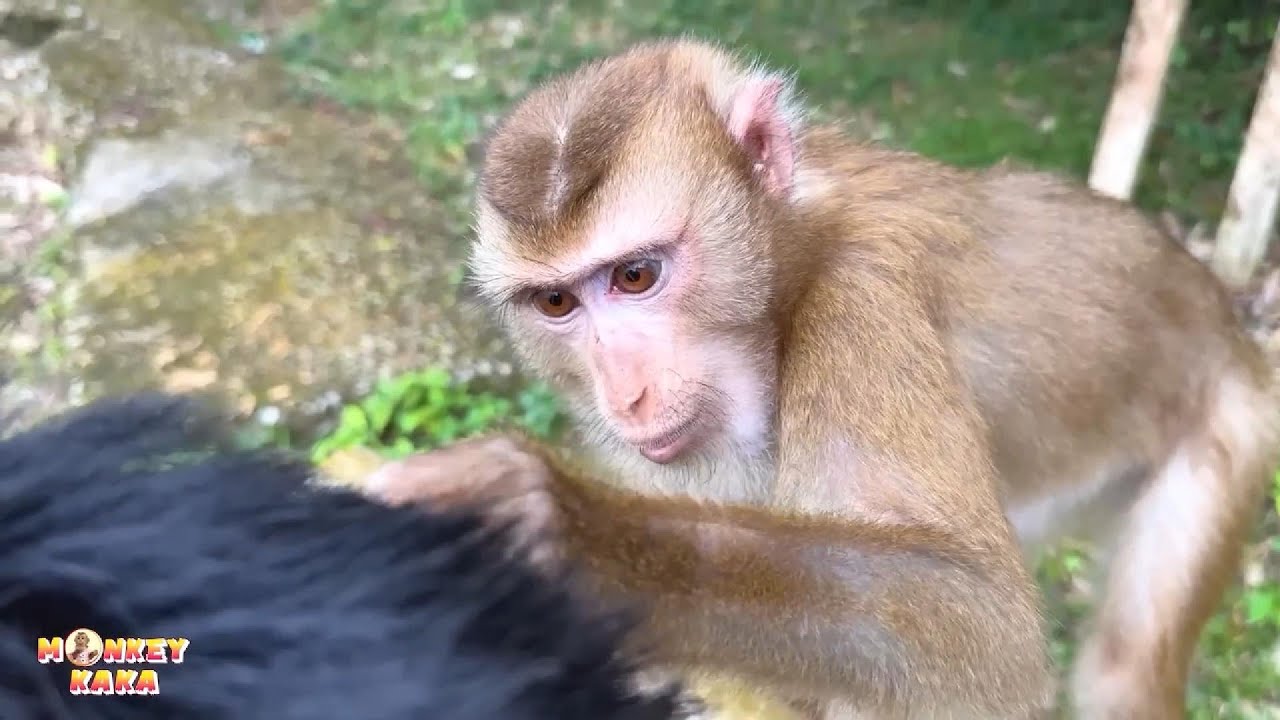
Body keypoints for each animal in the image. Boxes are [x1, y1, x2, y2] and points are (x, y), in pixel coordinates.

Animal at [365, 38, 1280, 720]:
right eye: (556, 301)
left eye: (636, 276)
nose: (625, 396)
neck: (795, 251)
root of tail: (1221, 313)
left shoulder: (861, 308)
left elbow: (978, 624)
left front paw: (556, 529)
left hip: (1231, 429)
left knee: (1122, 674)